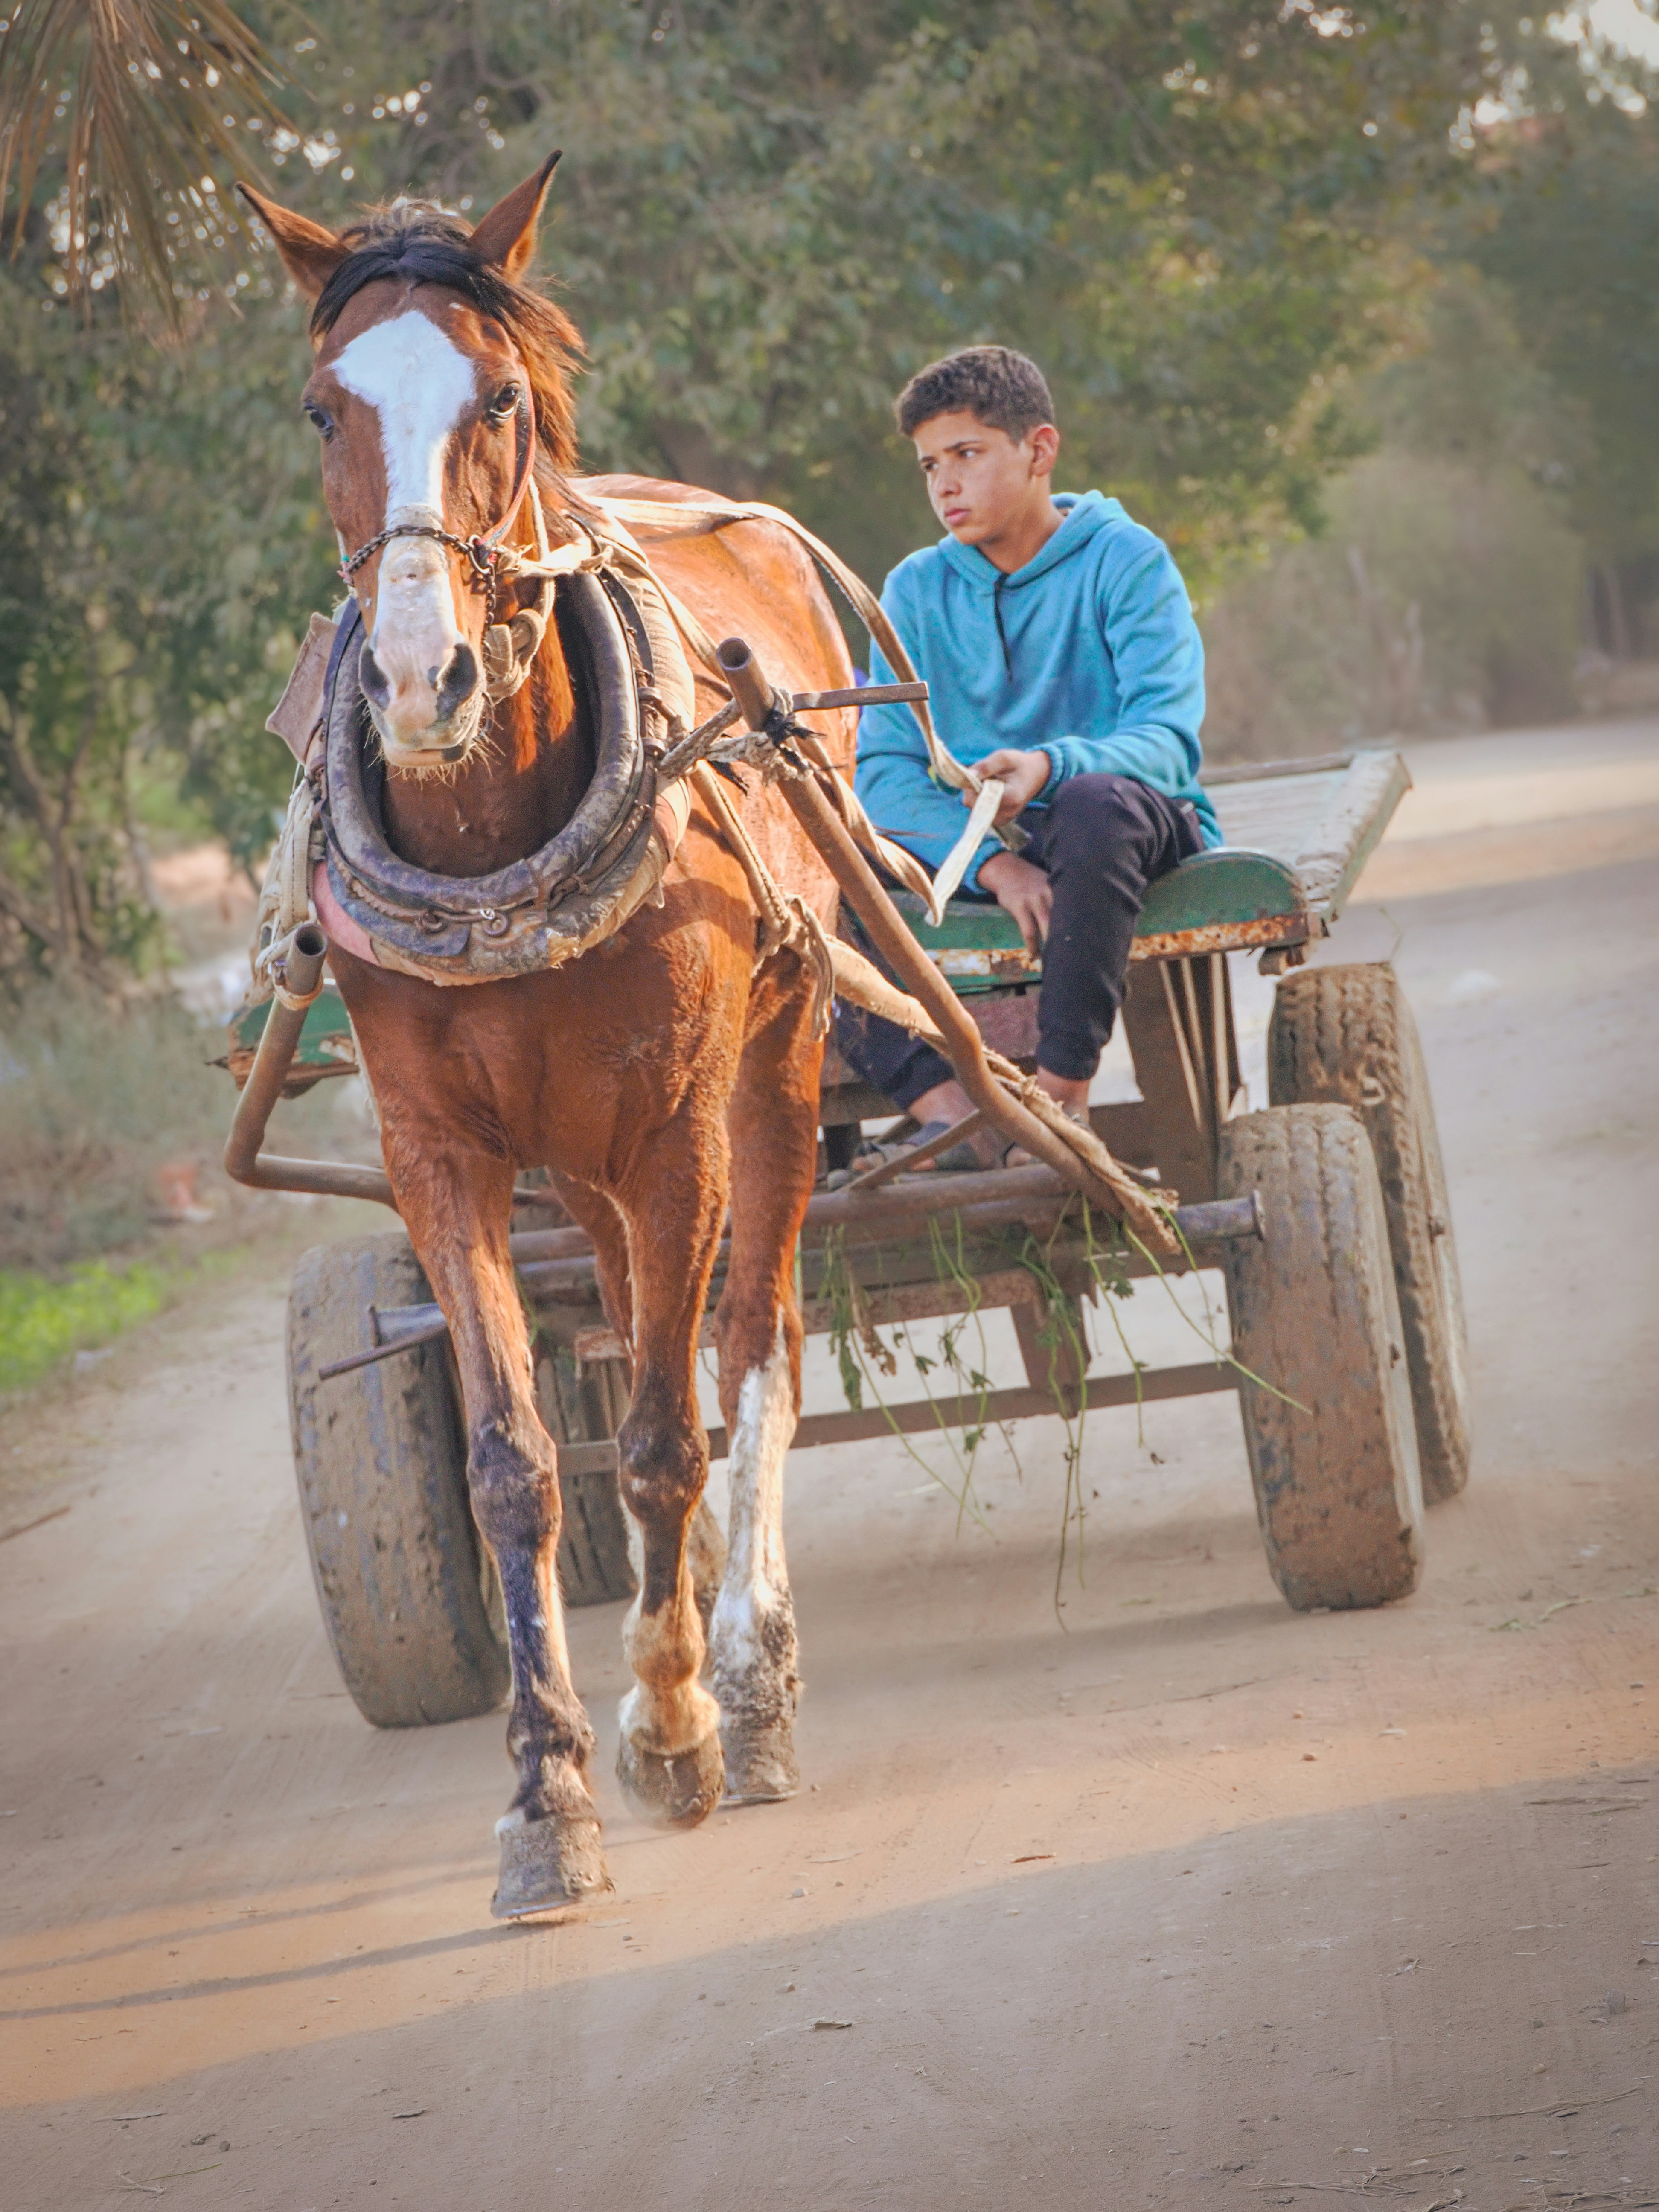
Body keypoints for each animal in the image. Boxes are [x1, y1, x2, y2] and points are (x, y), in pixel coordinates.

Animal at [238, 156, 854, 1917]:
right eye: (320, 408)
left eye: (499, 400)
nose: (418, 677)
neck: (494, 832)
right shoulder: (439, 1154)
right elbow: (515, 1459)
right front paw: (547, 1795)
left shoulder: (679, 1130)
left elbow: (660, 1433)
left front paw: (676, 1727)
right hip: (574, 1162)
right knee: (645, 1325)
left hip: (775, 1071)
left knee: (753, 1349)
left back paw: (748, 1676)